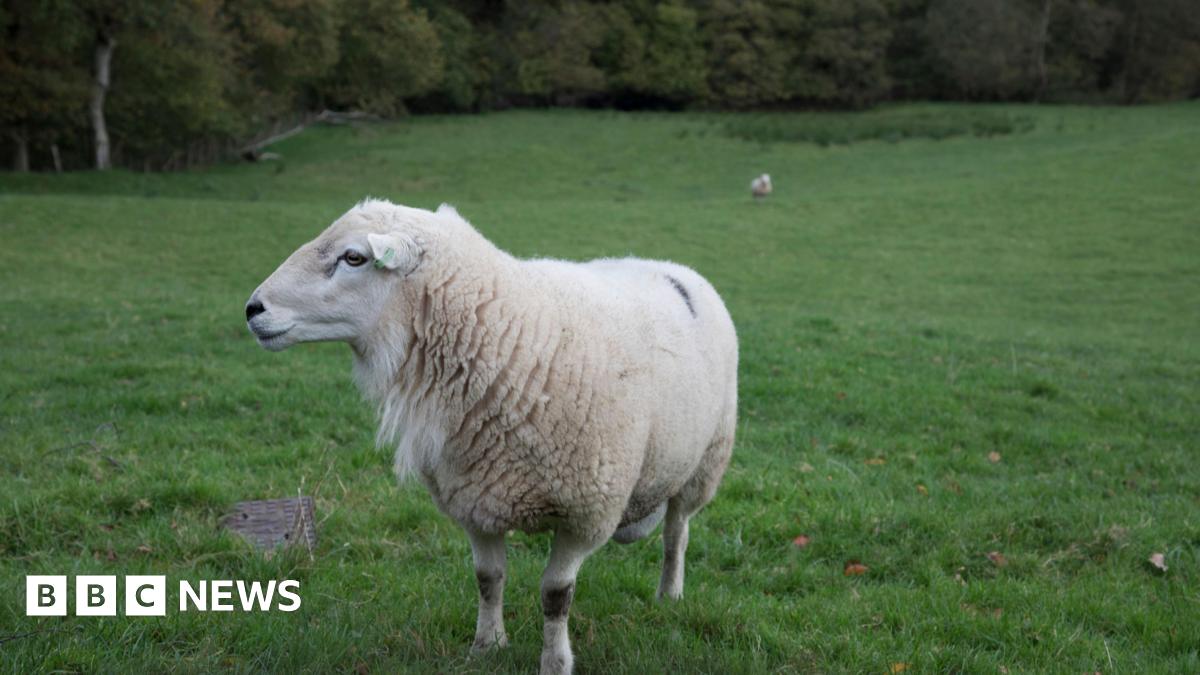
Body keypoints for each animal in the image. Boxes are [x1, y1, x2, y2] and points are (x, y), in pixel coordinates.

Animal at [245, 199, 738, 675]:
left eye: (354, 257)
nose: (253, 309)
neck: (508, 334)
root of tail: (670, 266)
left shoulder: (586, 512)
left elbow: (556, 594)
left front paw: (554, 663)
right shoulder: (474, 500)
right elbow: (488, 579)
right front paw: (487, 646)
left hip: (705, 462)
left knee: (677, 534)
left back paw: (669, 594)